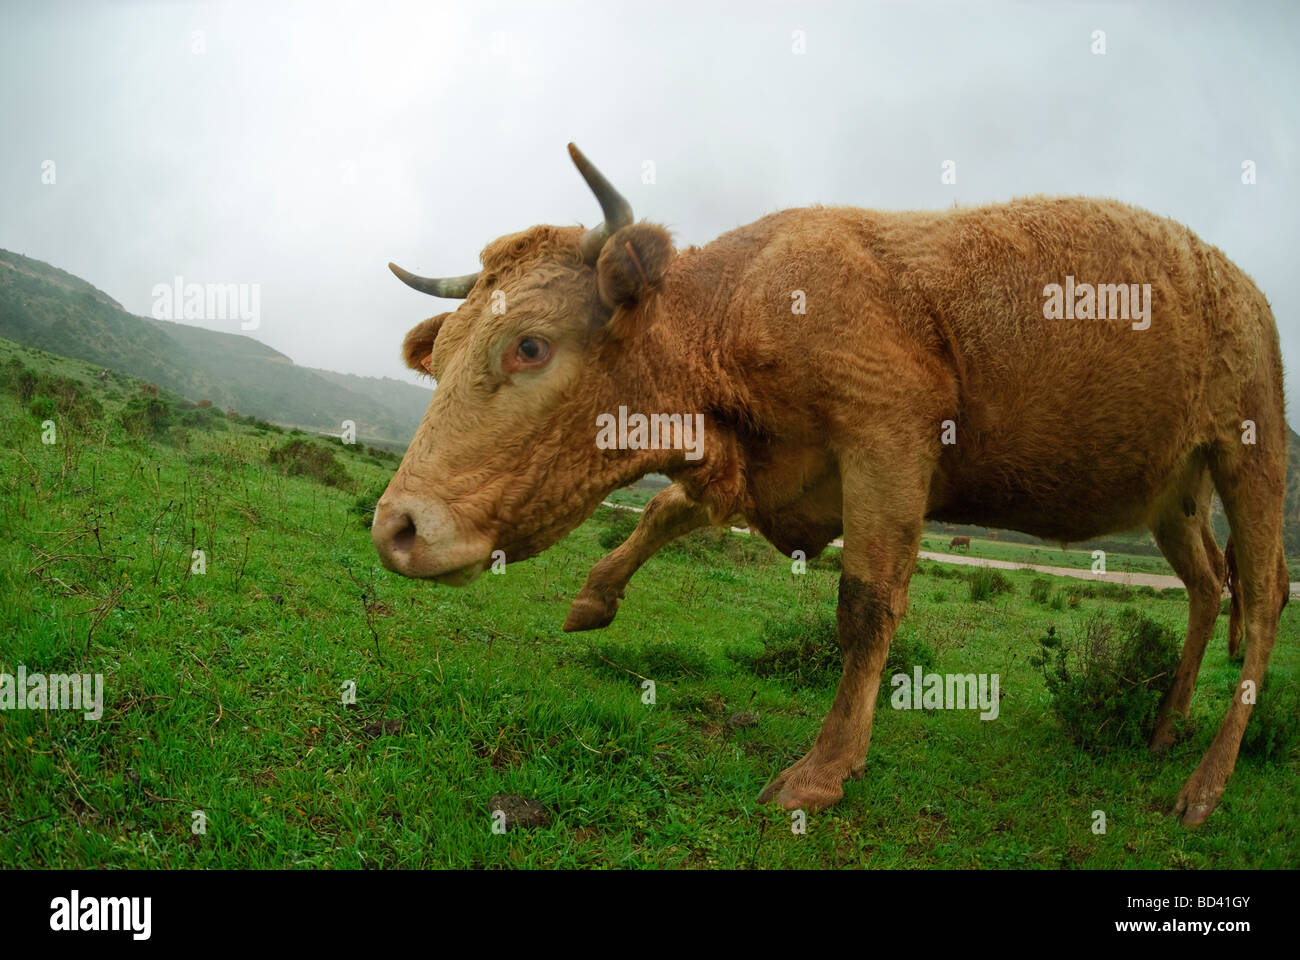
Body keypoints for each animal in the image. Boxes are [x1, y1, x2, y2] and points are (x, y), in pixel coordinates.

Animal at [372, 143, 1289, 829]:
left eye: (530, 345)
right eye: (440, 355)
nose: (396, 528)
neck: (746, 306)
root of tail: (1239, 282)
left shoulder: (887, 442)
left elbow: (866, 604)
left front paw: (823, 768)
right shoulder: (777, 469)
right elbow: (669, 507)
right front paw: (595, 597)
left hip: (1252, 458)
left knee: (1265, 596)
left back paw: (1205, 784)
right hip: (1174, 495)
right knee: (1209, 584)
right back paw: (1165, 724)